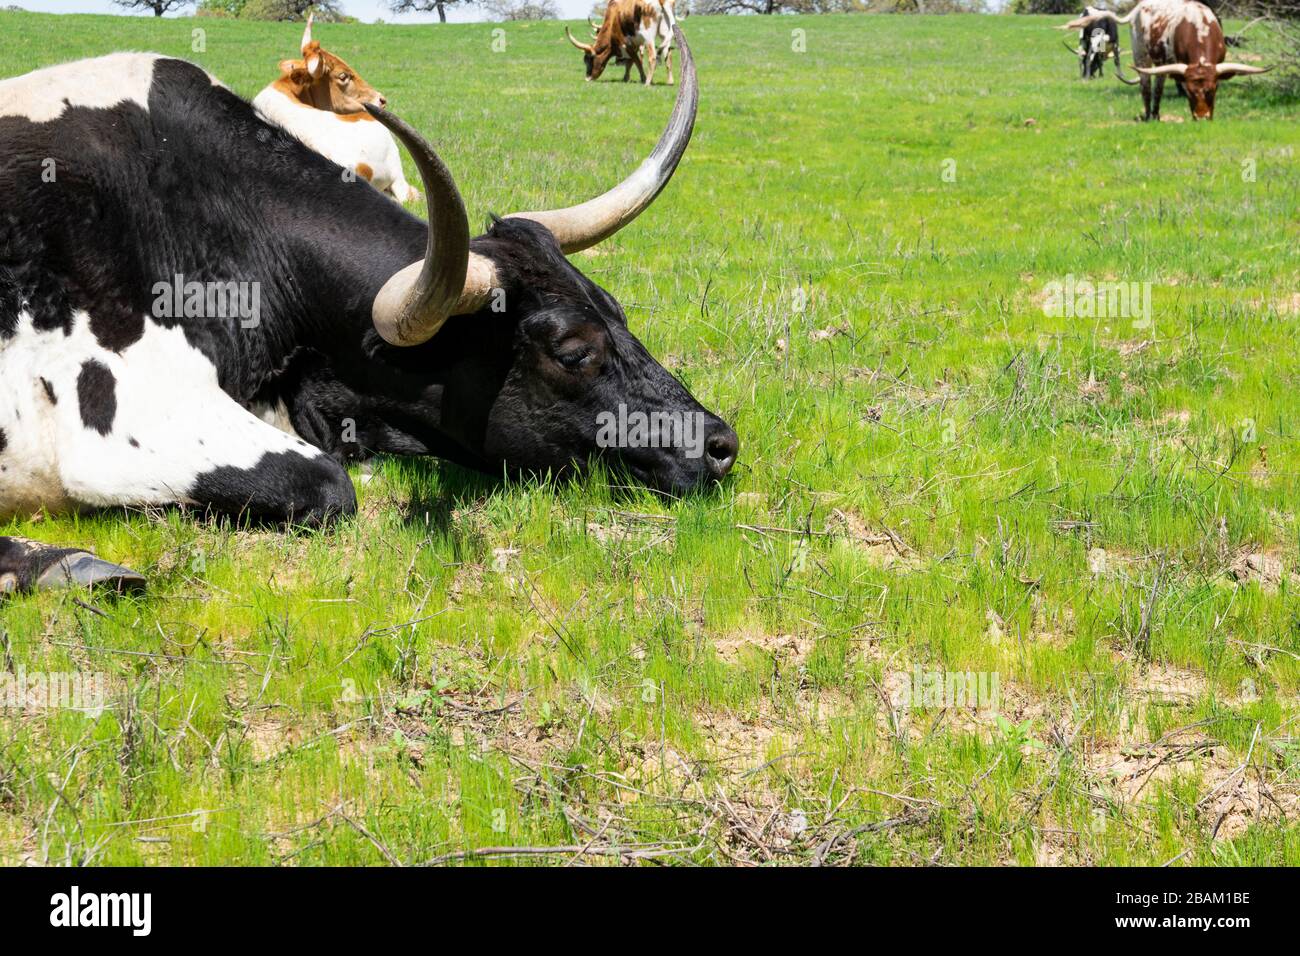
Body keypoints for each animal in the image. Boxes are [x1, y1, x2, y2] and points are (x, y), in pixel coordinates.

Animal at [1063, 1, 1270, 120]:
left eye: (1212, 90)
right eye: (1191, 92)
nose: (1202, 117)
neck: (1200, 26)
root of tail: (1138, 7)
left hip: (1162, 61)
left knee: (1158, 87)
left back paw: (1156, 114)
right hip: (1142, 55)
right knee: (1146, 85)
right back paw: (1149, 115)